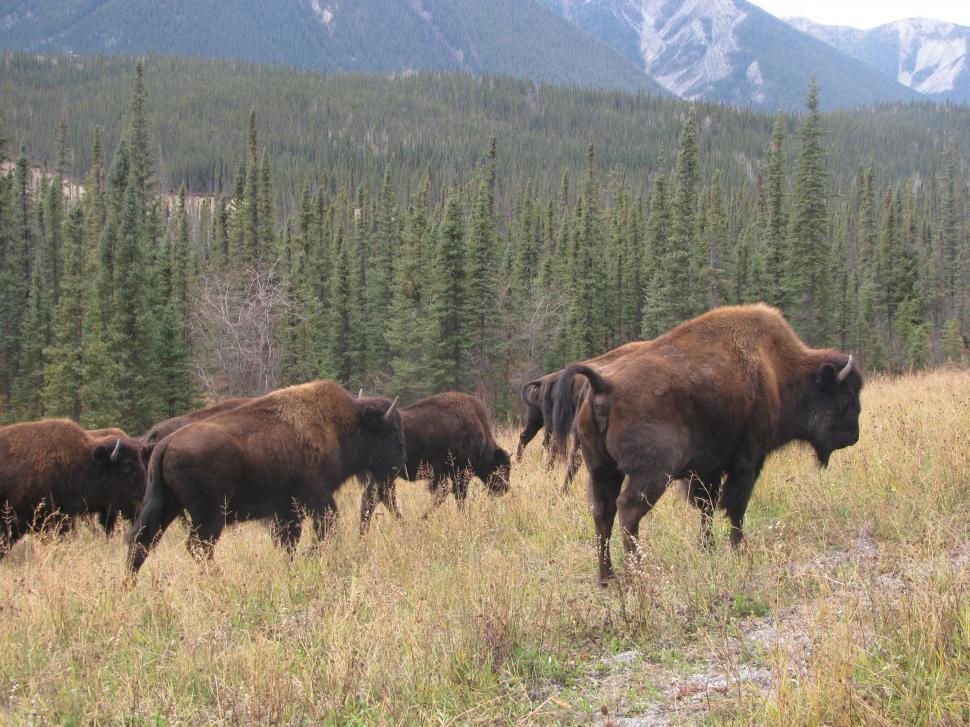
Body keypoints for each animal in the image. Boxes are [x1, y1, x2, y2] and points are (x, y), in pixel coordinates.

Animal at [126, 380, 404, 574]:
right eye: (391, 432)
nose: (398, 465)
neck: (338, 425)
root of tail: (165, 444)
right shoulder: (317, 499)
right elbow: (324, 528)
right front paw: (307, 558)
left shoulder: (287, 511)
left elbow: (289, 542)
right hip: (209, 516)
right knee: (197, 546)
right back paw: (219, 578)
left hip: (166, 505)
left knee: (141, 543)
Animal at [359, 392, 511, 532]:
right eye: (503, 467)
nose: (504, 488)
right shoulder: (458, 474)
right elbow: (455, 496)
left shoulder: (444, 475)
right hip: (389, 473)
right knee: (381, 496)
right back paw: (401, 524)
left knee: (373, 497)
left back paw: (364, 532)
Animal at [550, 304, 863, 585]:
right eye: (845, 397)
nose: (853, 437)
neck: (775, 369)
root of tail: (604, 385)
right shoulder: (747, 461)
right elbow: (735, 506)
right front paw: (738, 549)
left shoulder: (706, 471)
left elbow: (707, 507)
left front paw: (707, 548)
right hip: (651, 475)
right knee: (627, 511)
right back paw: (637, 574)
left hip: (602, 470)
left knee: (603, 513)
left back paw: (607, 577)